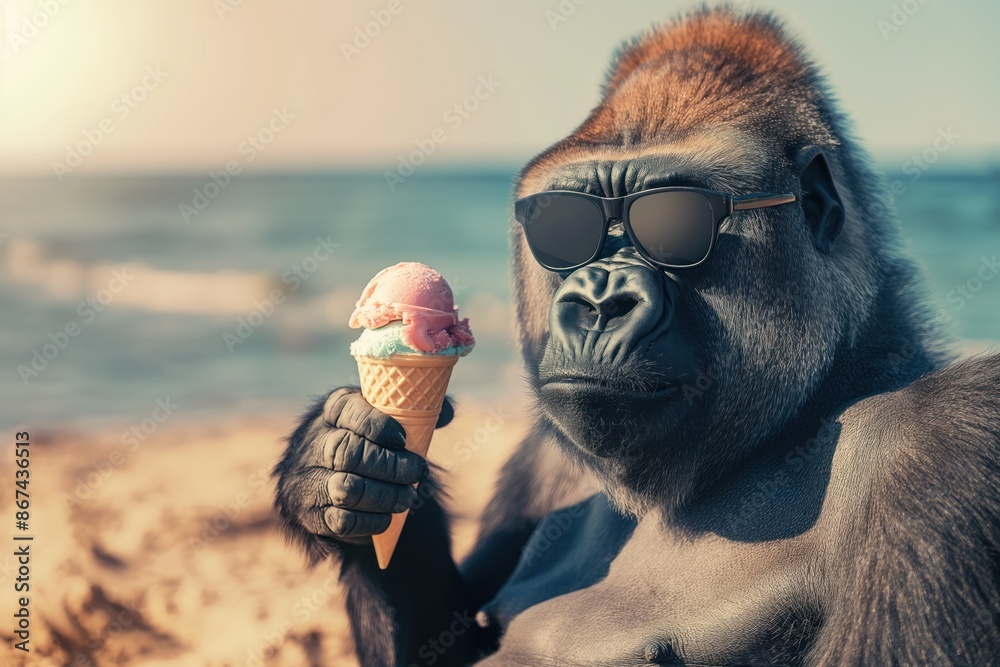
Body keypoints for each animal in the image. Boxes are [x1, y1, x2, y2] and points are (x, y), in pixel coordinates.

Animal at [273, 7, 1000, 666]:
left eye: (674, 219)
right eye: (560, 224)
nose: (599, 299)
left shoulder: (941, 442)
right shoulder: (542, 456)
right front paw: (337, 460)